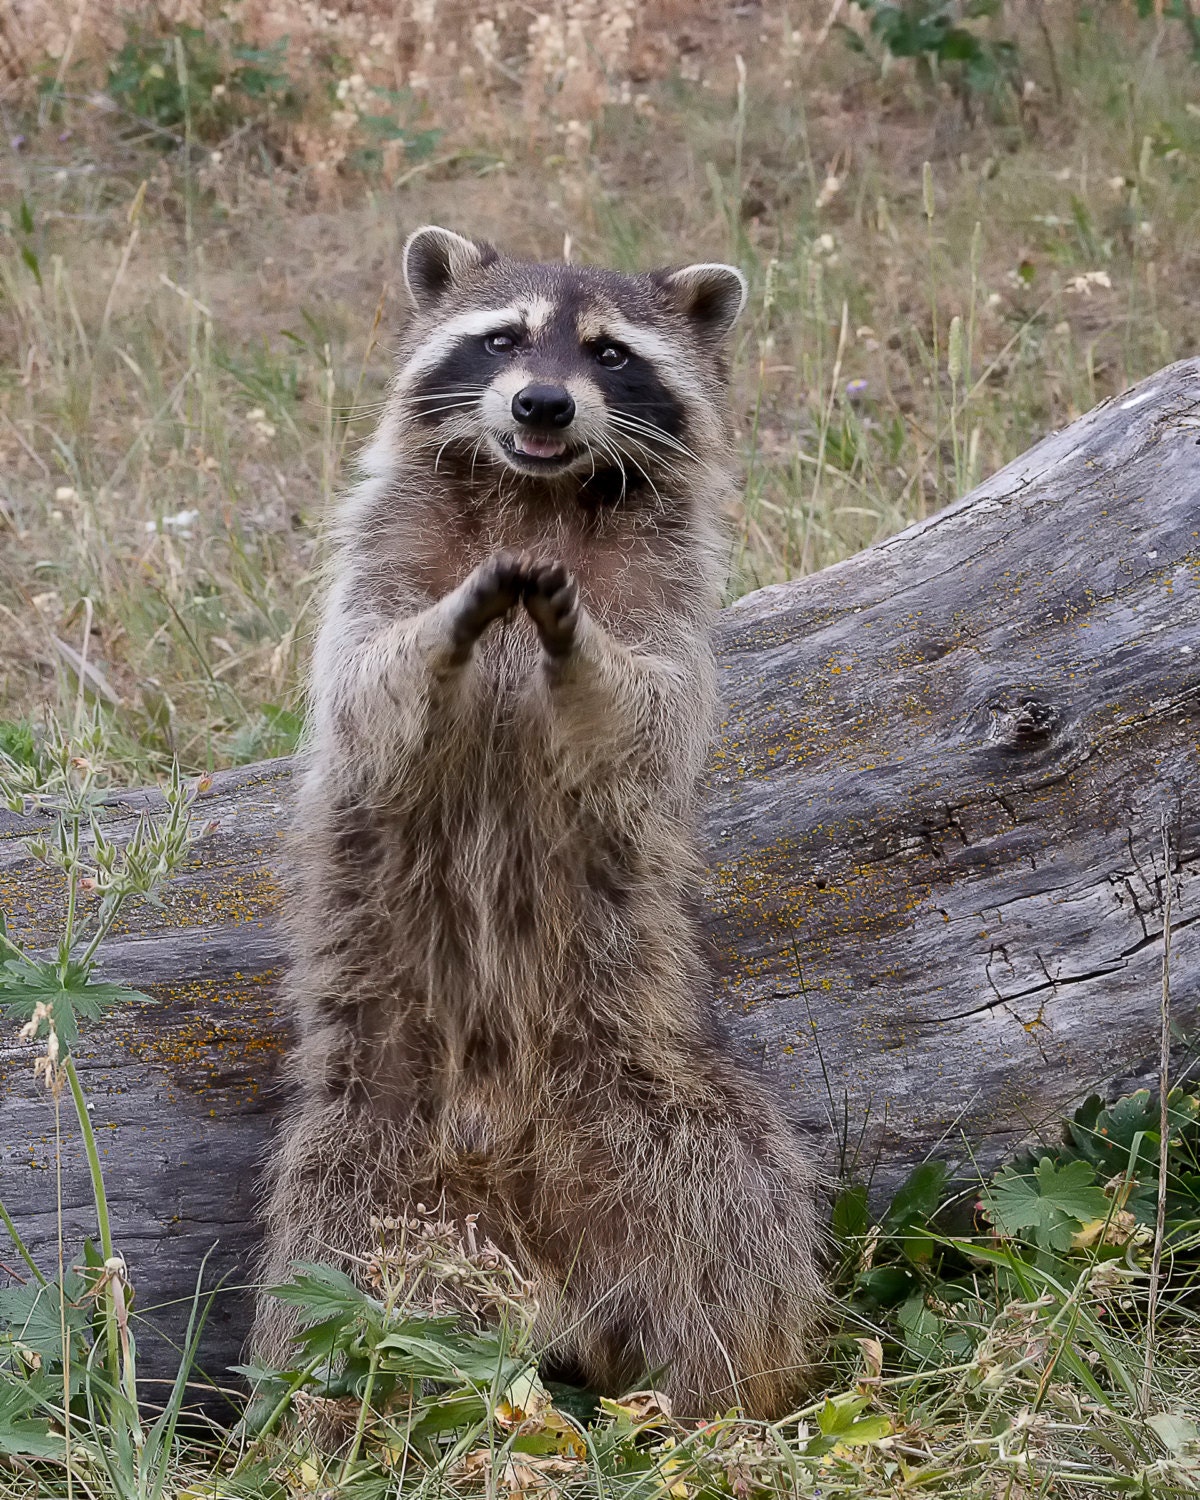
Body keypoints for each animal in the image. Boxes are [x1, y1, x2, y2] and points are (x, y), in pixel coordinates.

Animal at [254, 226, 825, 1418]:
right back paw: (332, 1419)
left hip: (665, 1116)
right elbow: (369, 686)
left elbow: (645, 706)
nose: (543, 404)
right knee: (338, 1308)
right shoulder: (380, 559)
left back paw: (728, 1399)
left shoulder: (669, 595)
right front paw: (441, 634)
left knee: (739, 1234)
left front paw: (584, 660)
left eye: (609, 354)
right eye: (503, 338)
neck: (536, 493)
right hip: (372, 1174)